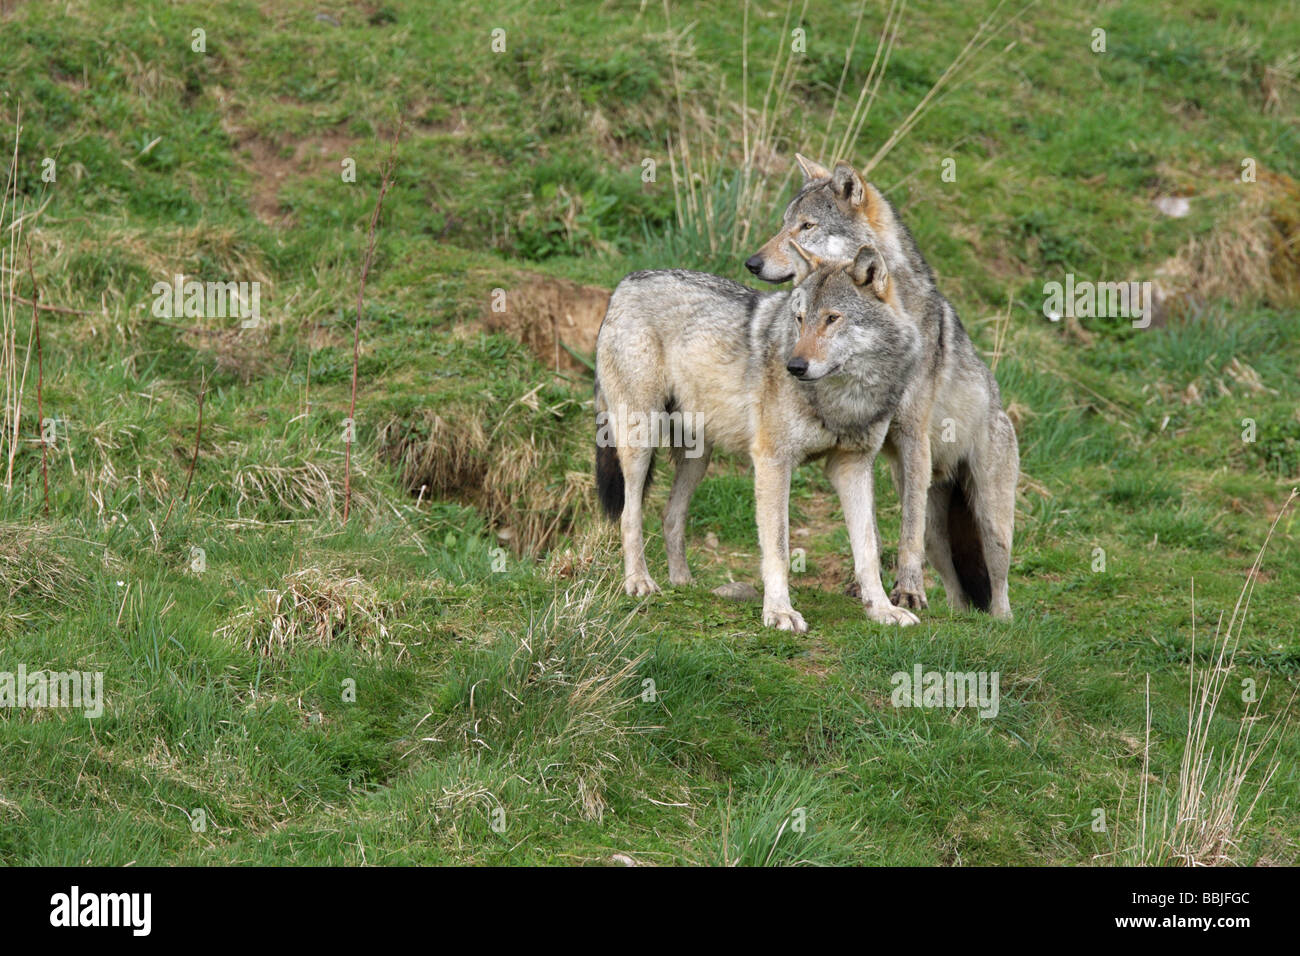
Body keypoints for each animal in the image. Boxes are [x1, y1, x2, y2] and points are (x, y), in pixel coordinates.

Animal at [594, 244, 922, 633]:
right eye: (799, 319)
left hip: (697, 459)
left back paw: (684, 584)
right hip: (641, 440)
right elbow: (777, 547)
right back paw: (639, 581)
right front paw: (779, 611)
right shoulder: (772, 462)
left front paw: (882, 609)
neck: (846, 398)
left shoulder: (853, 466)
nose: (793, 366)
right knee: (630, 515)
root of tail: (625, 284)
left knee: (671, 517)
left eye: (832, 318)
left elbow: (868, 548)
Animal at [746, 154, 1019, 618]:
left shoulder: (911, 436)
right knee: (958, 592)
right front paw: (867, 590)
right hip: (940, 532)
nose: (752, 262)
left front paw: (906, 593)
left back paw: (998, 621)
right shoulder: (867, 444)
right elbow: (869, 529)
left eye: (806, 226)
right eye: (784, 224)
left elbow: (904, 534)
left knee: (998, 590)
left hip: (990, 523)